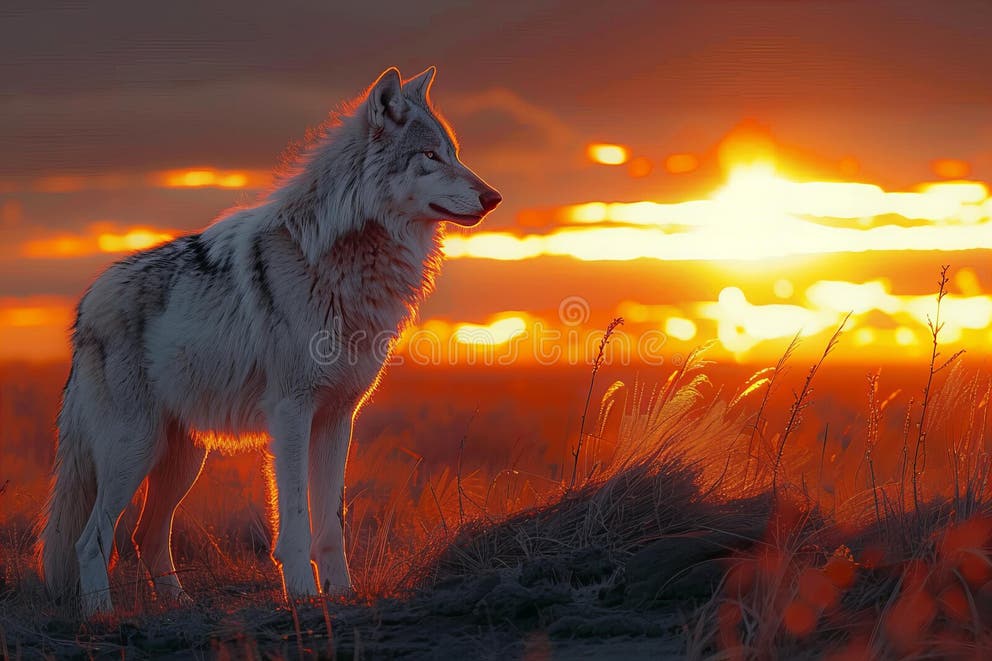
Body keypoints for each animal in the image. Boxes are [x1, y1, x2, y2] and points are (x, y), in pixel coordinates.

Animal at [39, 66, 501, 615]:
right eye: (430, 156)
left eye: (454, 153)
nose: (494, 197)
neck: (345, 262)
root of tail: (86, 305)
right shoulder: (291, 413)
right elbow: (296, 523)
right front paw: (302, 596)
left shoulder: (338, 418)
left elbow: (331, 525)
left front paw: (342, 594)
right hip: (134, 449)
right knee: (90, 539)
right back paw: (102, 617)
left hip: (182, 460)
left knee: (144, 536)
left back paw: (183, 607)